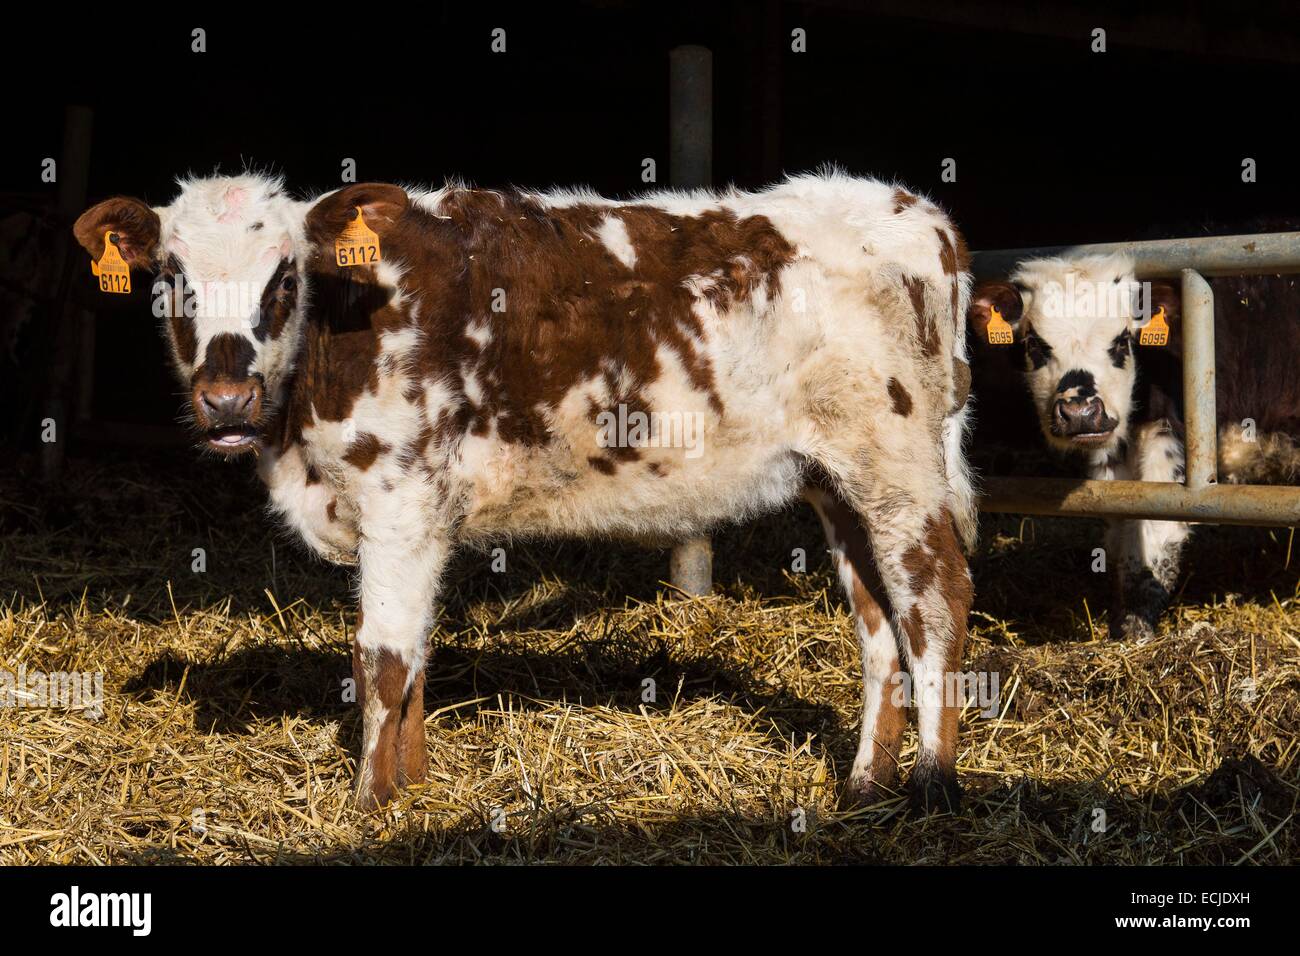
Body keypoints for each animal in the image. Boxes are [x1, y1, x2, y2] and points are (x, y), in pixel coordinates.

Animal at [74, 170, 977, 811]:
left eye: (284, 278)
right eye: (173, 276)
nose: (226, 401)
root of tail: (915, 211)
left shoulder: (399, 500)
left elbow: (381, 656)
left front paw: (369, 804)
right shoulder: (424, 516)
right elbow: (417, 652)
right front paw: (411, 787)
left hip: (897, 464)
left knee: (934, 601)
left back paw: (933, 788)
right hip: (836, 480)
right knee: (878, 623)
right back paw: (863, 787)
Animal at [970, 254, 1300, 639]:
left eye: (1122, 340)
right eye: (1034, 344)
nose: (1080, 412)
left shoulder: (1171, 445)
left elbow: (1158, 532)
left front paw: (1137, 629)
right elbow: (1126, 533)